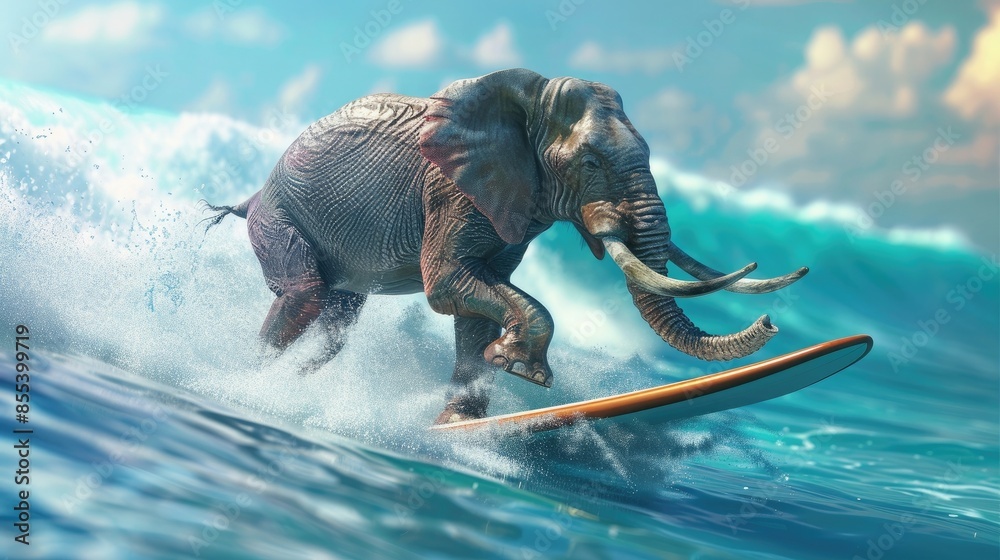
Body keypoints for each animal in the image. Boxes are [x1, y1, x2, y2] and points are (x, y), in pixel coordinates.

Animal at [205, 68, 807, 424]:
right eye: (591, 163)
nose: (772, 322)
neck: (528, 99)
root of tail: (252, 195)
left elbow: (474, 306)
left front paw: (461, 426)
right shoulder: (450, 190)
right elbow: (448, 285)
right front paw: (524, 372)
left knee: (337, 319)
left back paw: (290, 389)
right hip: (279, 218)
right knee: (304, 295)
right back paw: (250, 385)